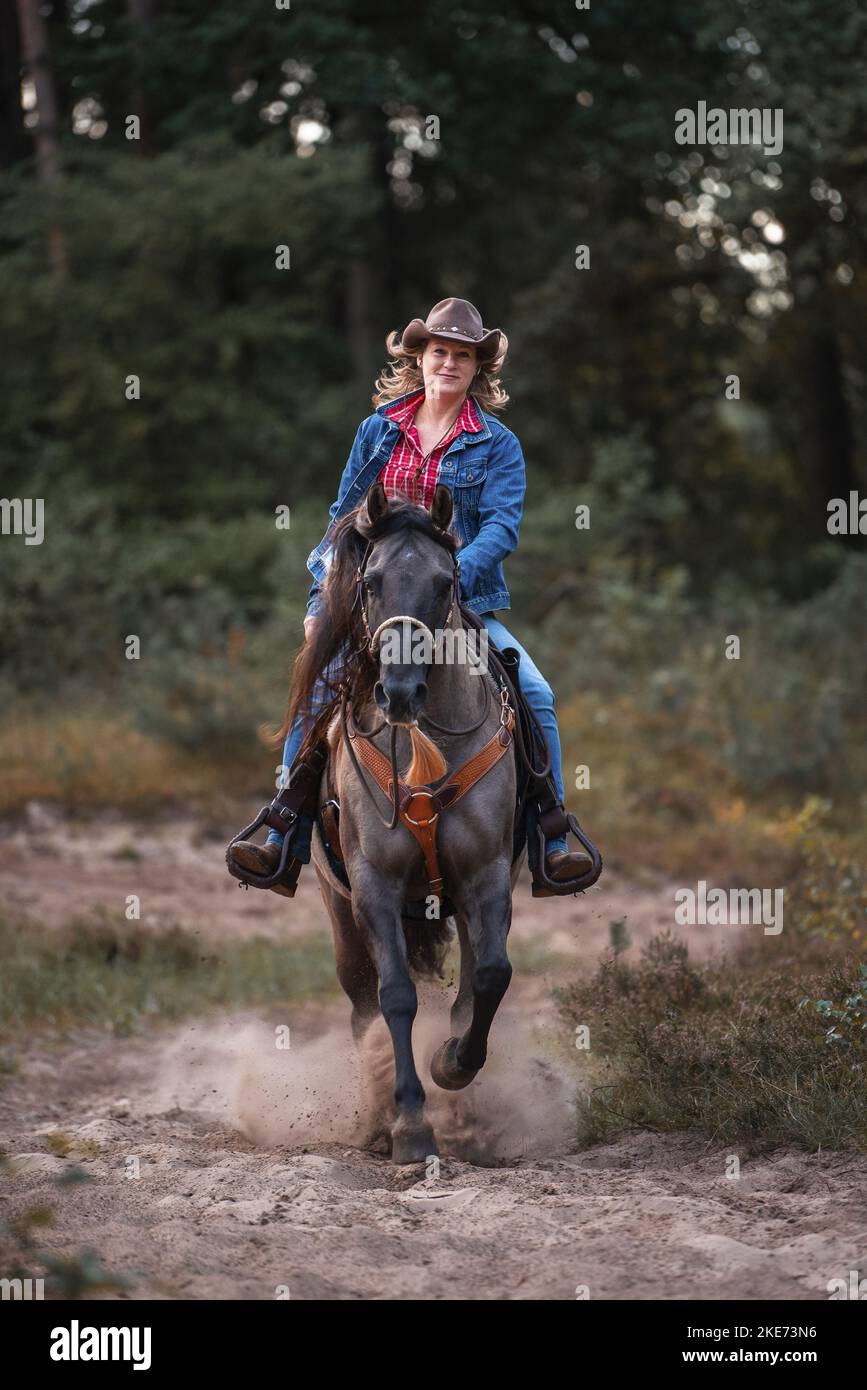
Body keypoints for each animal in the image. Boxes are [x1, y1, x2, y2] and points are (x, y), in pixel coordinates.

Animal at [280, 481, 520, 1164]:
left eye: (445, 583)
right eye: (372, 581)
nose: (401, 691)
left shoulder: (487, 873)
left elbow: (491, 975)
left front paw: (453, 1065)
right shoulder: (374, 884)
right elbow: (396, 997)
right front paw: (411, 1125)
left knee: (472, 982)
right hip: (338, 907)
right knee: (363, 1003)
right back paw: (375, 1112)